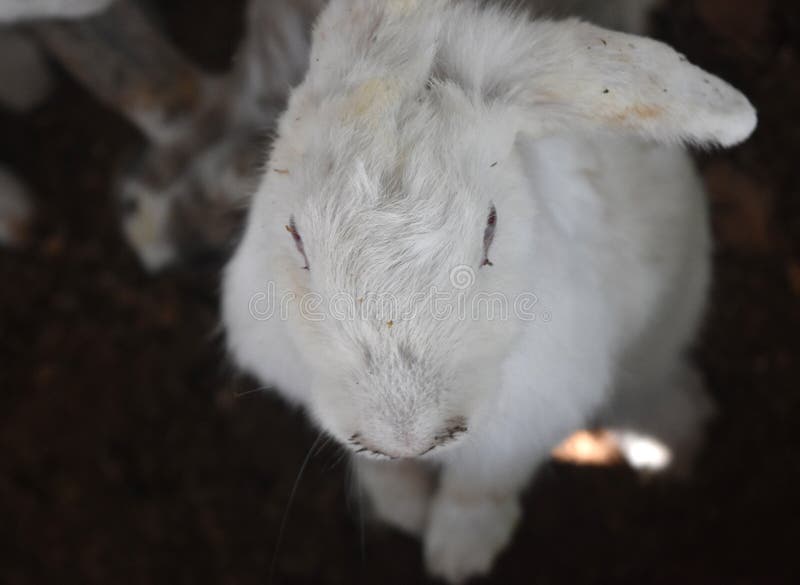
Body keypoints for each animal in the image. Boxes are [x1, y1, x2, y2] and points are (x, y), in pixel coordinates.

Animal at [221, 0, 756, 582]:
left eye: (490, 227)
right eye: (296, 235)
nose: (408, 439)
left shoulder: (532, 417)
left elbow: (481, 488)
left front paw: (459, 555)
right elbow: (373, 464)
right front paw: (405, 510)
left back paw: (673, 439)